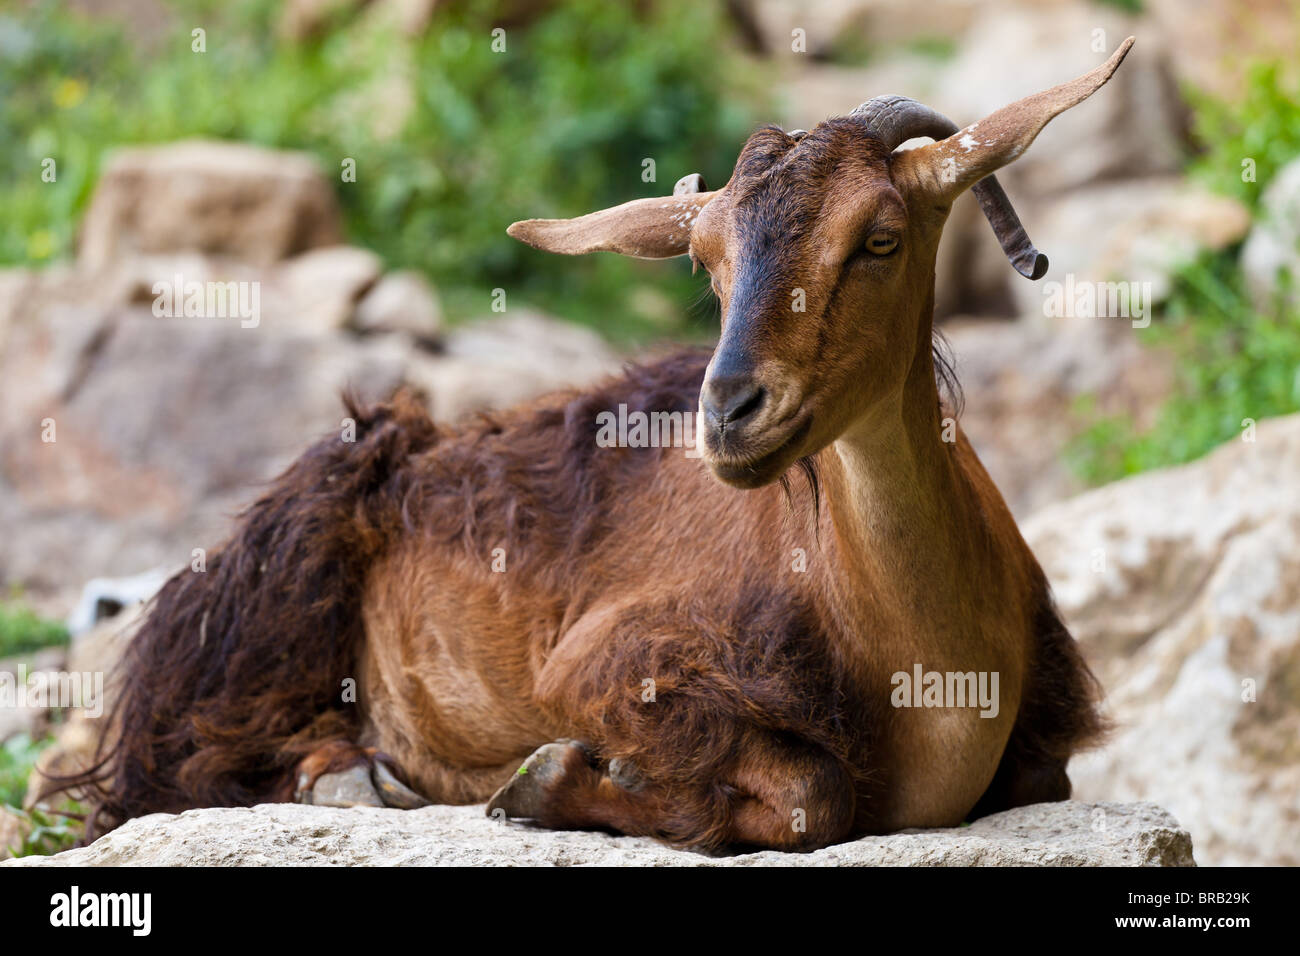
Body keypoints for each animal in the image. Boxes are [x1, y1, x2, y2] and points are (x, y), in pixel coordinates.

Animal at [52, 39, 1133, 850]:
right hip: (277, 581)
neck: (925, 671)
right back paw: (349, 774)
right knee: (175, 759)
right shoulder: (602, 667)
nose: (729, 411)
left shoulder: (1042, 744)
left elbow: (1039, 775)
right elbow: (809, 793)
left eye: (880, 237)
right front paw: (553, 779)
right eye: (707, 263)